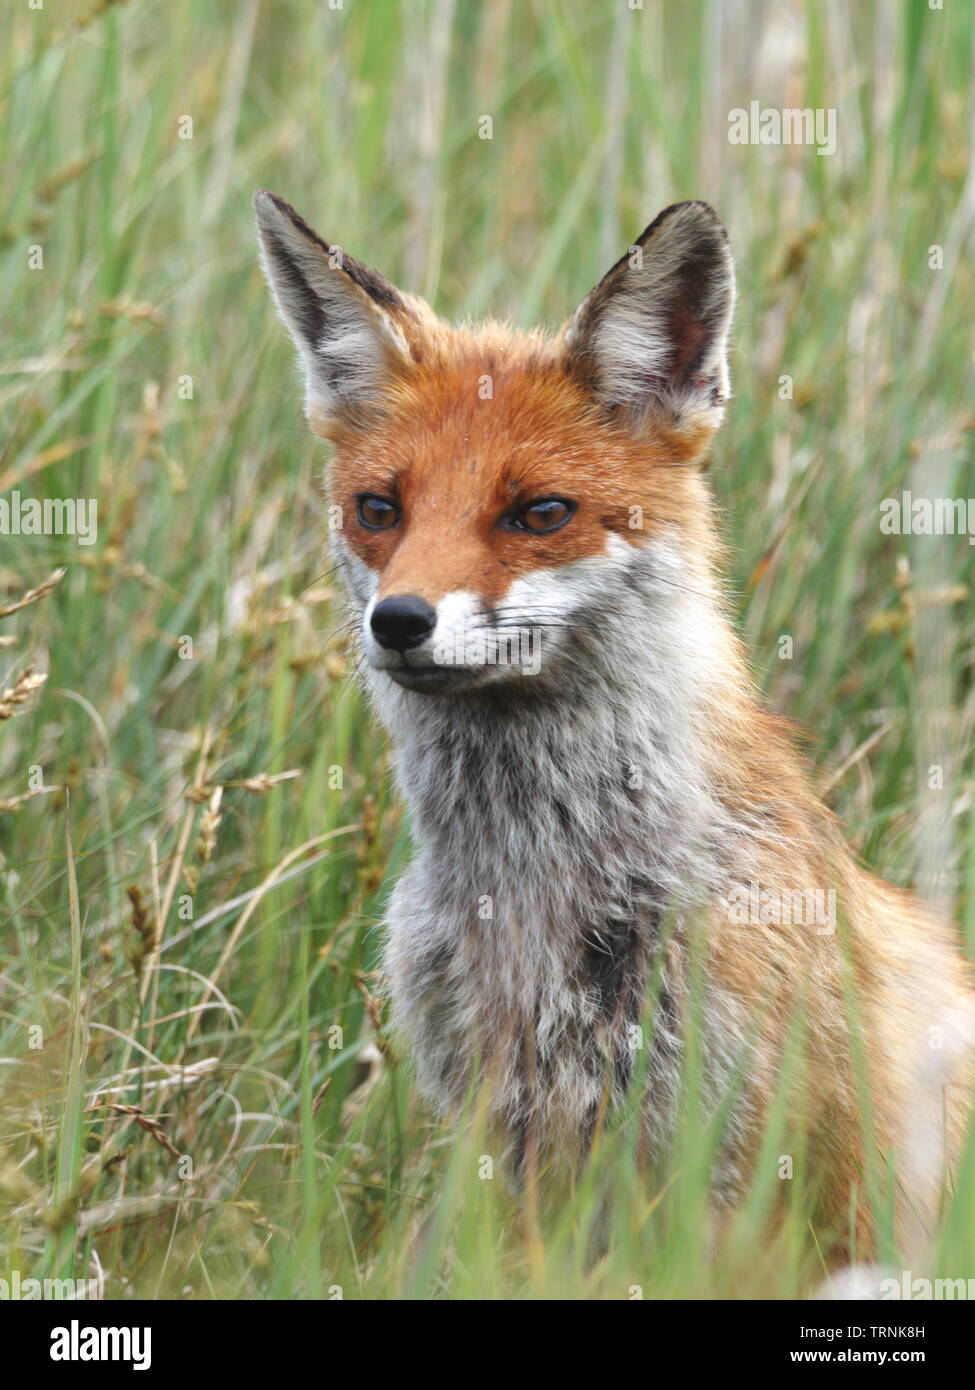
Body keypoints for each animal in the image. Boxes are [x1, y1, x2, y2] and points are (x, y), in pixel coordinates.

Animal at [255, 190, 975, 1262]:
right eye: (377, 509)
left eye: (539, 512)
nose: (399, 622)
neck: (535, 890)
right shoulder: (505, 1135)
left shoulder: (739, 1173)